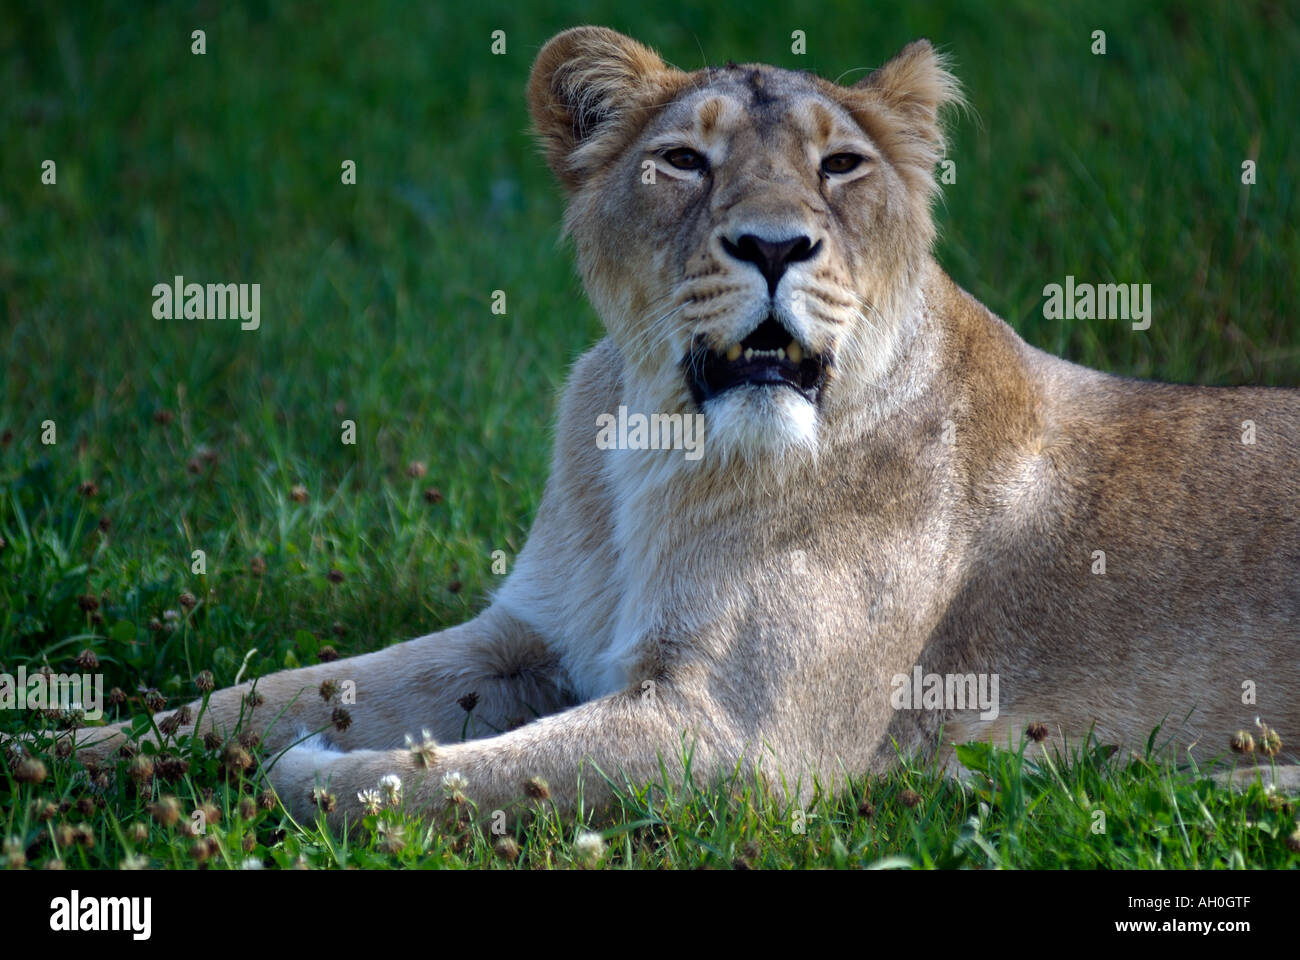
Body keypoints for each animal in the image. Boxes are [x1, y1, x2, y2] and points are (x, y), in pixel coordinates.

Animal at [61, 26, 1300, 823]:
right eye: (683, 161)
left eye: (839, 165)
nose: (772, 245)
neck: (655, 457)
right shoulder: (523, 636)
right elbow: (259, 696)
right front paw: (77, 748)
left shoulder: (737, 741)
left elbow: (436, 777)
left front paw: (303, 776)